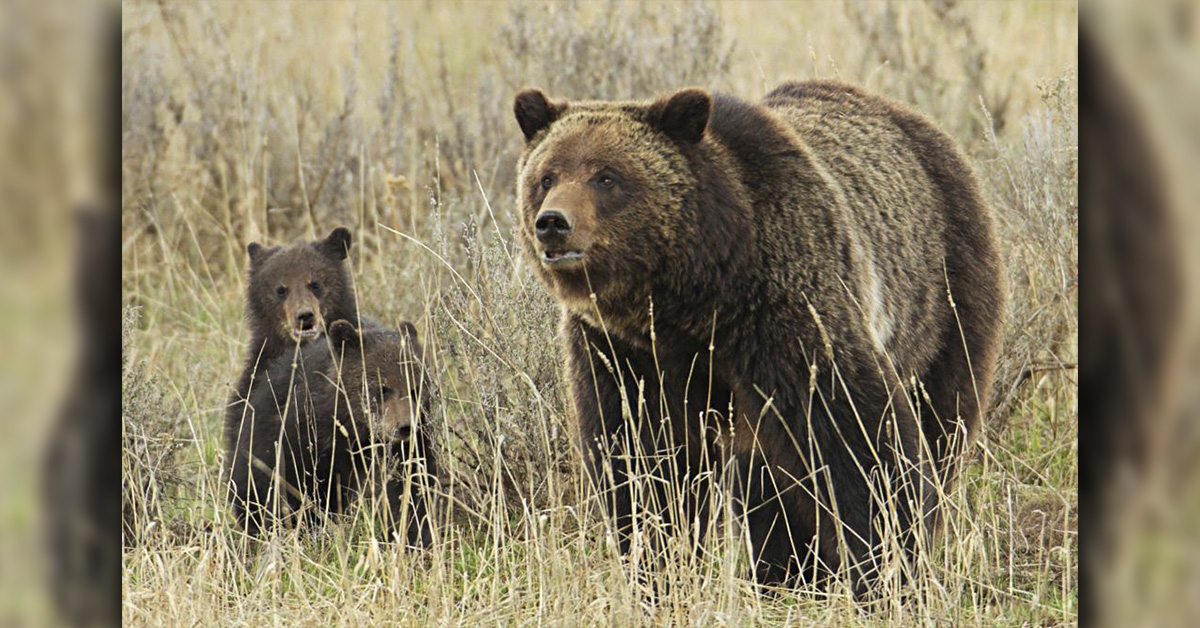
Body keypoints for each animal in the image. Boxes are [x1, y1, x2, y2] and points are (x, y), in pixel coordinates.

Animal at [223, 319, 439, 547]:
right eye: (382, 389)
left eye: (416, 388)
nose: (405, 426)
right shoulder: (302, 441)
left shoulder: (409, 451)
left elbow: (412, 491)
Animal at [512, 79, 1004, 593]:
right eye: (547, 176)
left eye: (607, 178)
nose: (553, 223)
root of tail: (908, 117)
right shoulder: (621, 351)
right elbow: (641, 456)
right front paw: (657, 565)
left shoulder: (784, 309)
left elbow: (857, 434)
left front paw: (889, 566)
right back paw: (783, 570)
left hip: (944, 294)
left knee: (942, 418)